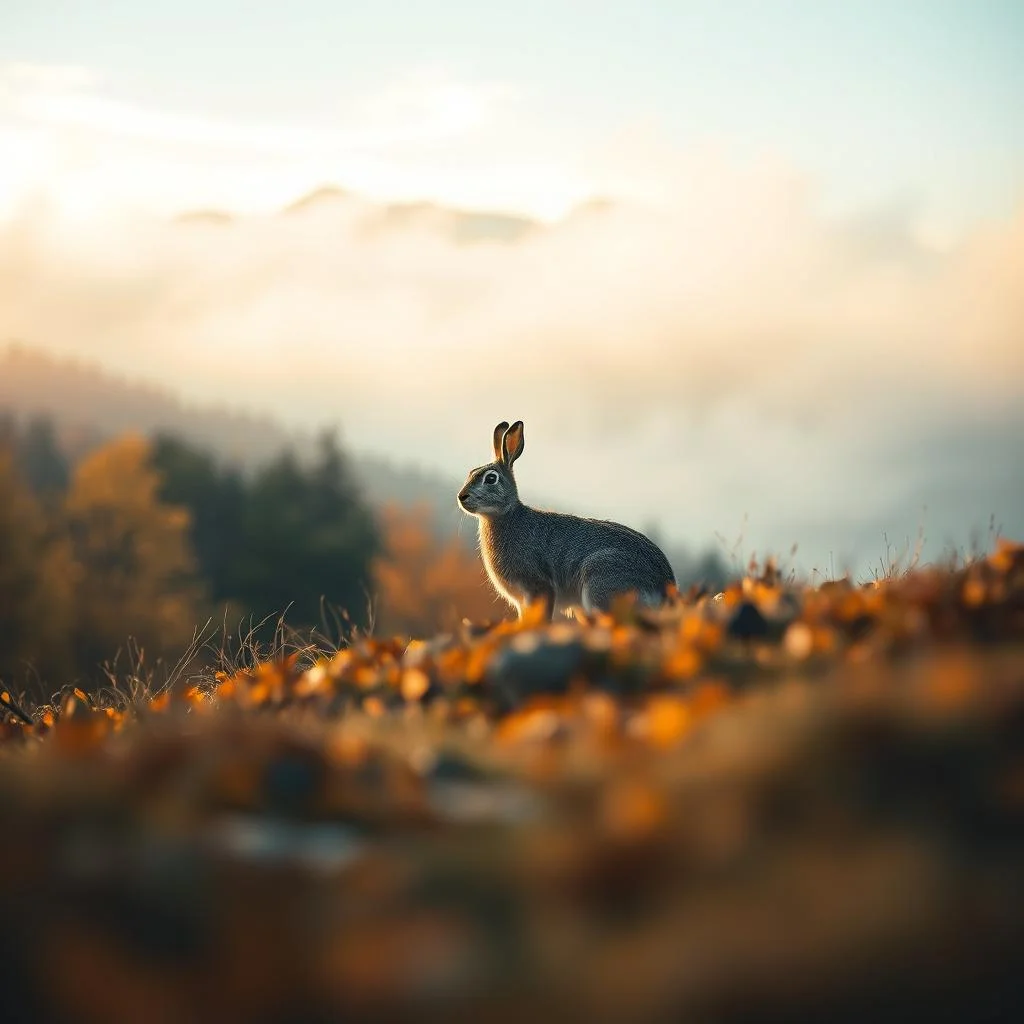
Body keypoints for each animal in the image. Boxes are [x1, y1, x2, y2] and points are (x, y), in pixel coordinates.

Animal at [457, 420, 677, 621]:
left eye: (491, 478)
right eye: (470, 473)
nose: (461, 496)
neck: (506, 515)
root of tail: (664, 588)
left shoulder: (539, 587)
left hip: (600, 582)